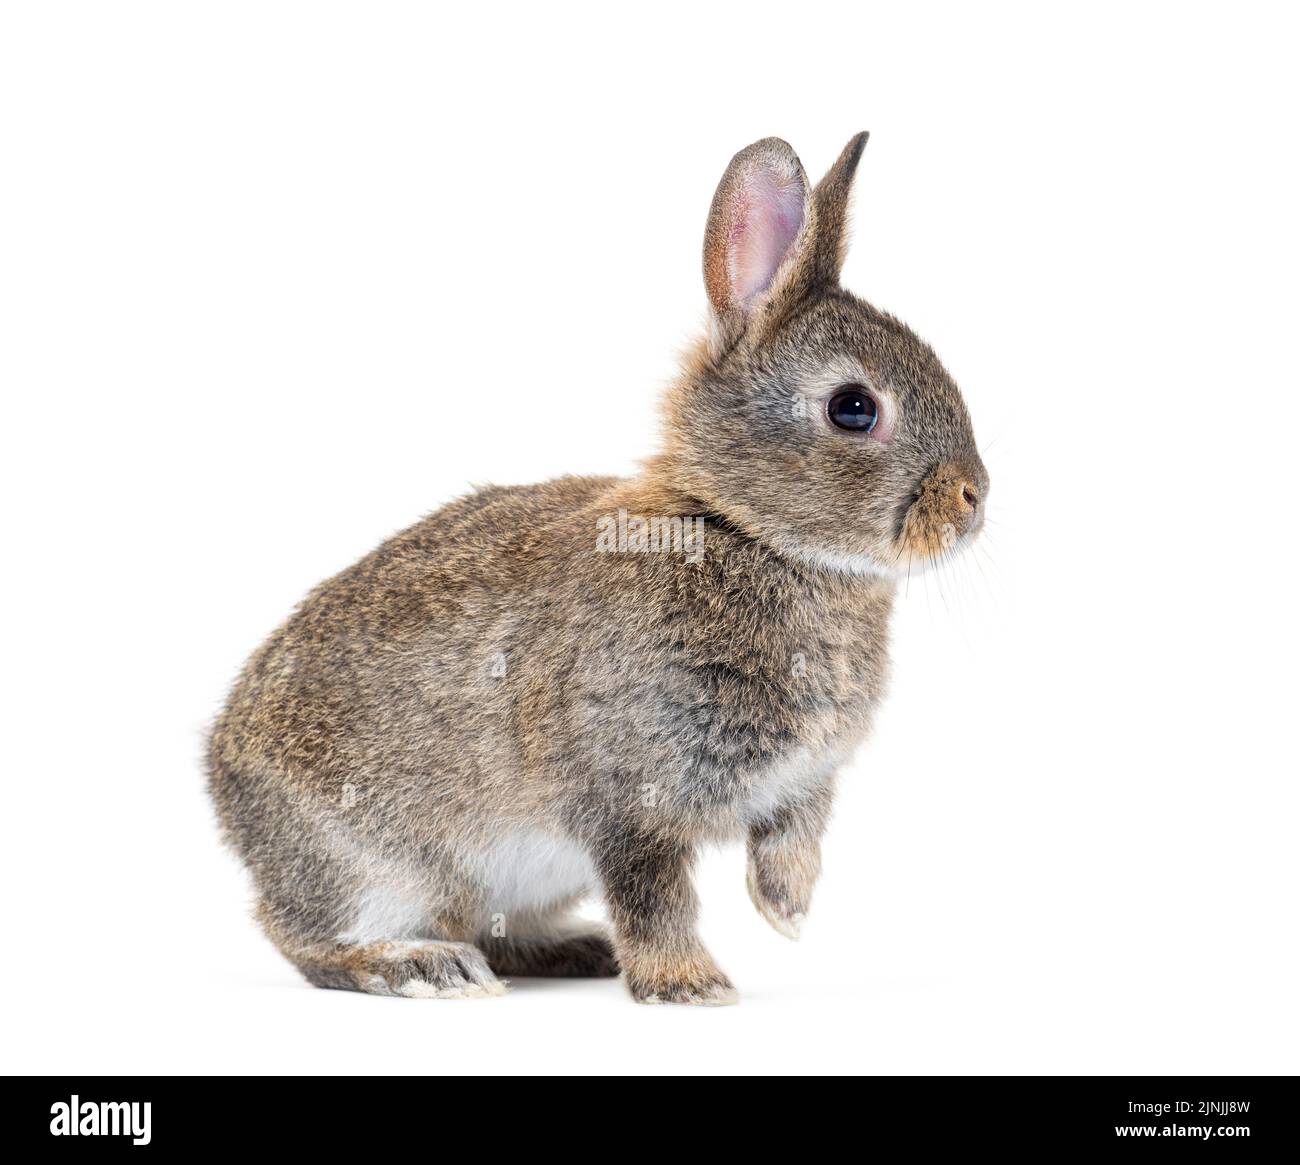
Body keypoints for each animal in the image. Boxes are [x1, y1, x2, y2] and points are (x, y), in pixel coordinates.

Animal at [207, 132, 989, 1005]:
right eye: (854, 407)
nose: (975, 496)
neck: (743, 529)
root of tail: (220, 772)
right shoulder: (626, 798)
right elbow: (654, 891)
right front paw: (691, 985)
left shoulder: (801, 785)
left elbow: (790, 842)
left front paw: (785, 913)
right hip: (369, 865)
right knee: (309, 939)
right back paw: (423, 964)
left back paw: (570, 947)